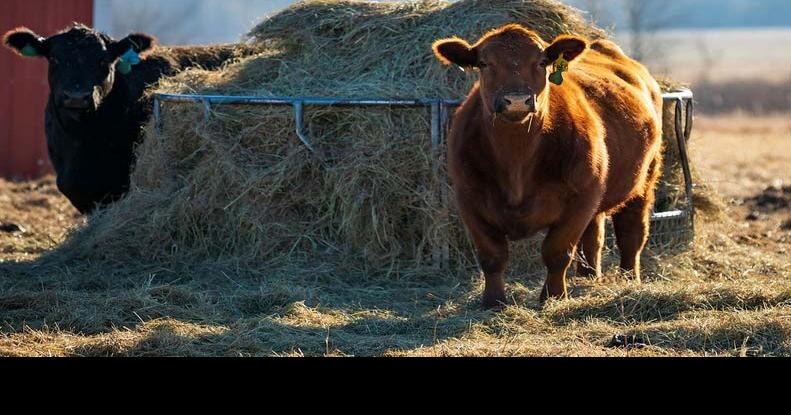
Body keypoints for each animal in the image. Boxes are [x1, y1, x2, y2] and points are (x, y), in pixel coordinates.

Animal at [432, 24, 664, 308]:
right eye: (484, 63)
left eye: (542, 62)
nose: (516, 100)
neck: (516, 161)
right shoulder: (469, 199)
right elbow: (492, 256)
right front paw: (494, 301)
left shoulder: (580, 199)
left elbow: (557, 252)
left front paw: (553, 296)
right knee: (594, 237)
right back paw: (589, 276)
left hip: (644, 180)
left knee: (631, 233)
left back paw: (629, 279)